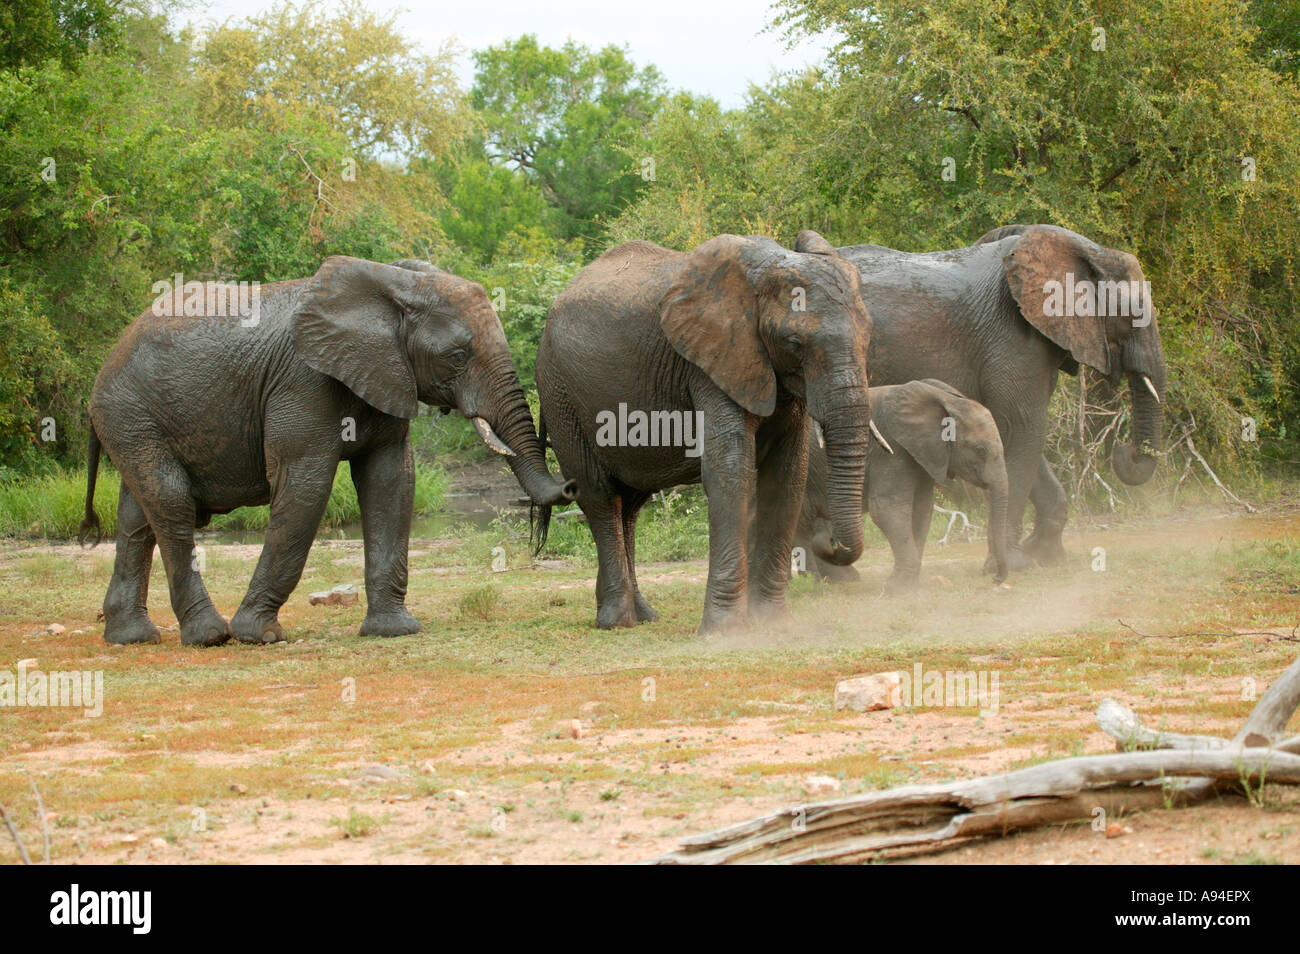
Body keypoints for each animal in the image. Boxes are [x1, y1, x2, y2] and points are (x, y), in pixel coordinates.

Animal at [80, 256, 576, 647]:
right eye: (457, 356)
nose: (570, 486)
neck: (393, 283)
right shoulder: (303, 381)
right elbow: (305, 485)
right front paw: (260, 635)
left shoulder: (386, 372)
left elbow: (391, 482)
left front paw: (394, 631)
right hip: (130, 412)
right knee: (170, 503)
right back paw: (209, 636)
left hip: (134, 421)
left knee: (136, 518)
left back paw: (131, 637)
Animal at [535, 231, 883, 633]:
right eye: (795, 344)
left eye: (869, 337)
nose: (830, 540)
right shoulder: (709, 360)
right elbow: (728, 470)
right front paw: (725, 631)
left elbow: (786, 476)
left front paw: (774, 624)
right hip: (560, 393)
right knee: (599, 495)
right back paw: (616, 621)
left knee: (630, 505)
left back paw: (642, 616)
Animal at [794, 379, 1009, 592]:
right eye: (980, 450)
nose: (995, 579)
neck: (945, 399)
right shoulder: (891, 451)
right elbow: (887, 509)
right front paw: (896, 589)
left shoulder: (922, 456)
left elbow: (922, 510)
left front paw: (908, 586)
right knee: (802, 525)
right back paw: (815, 585)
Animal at [796, 224, 1167, 572]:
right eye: (1132, 315)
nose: (1122, 452)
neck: (1091, 250)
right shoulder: (1013, 338)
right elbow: (1023, 430)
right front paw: (1015, 564)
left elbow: (1014, 436)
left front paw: (1046, 556)